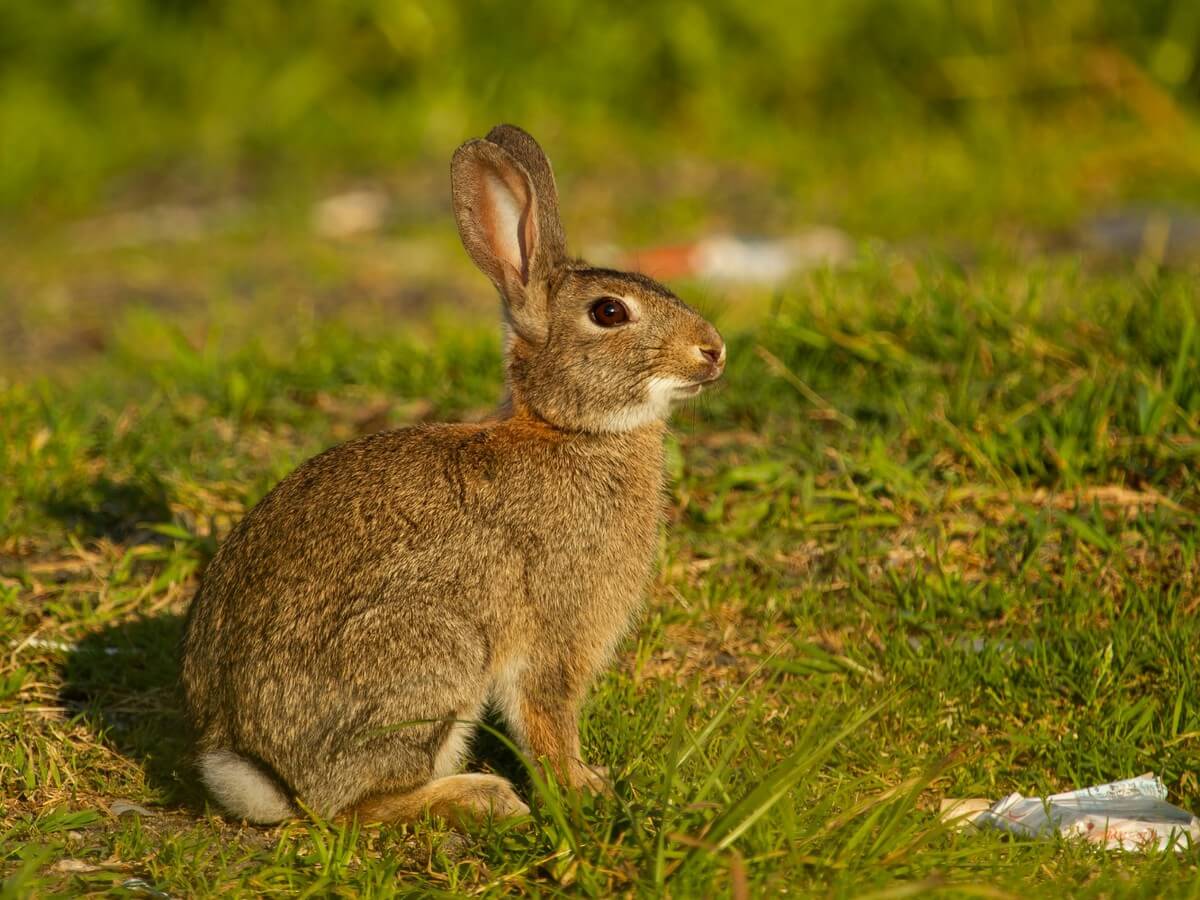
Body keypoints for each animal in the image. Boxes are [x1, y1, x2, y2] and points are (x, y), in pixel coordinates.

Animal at [179, 124, 726, 826]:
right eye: (609, 313)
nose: (713, 350)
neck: (569, 429)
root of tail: (259, 770)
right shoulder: (555, 629)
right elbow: (547, 719)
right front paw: (584, 788)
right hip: (435, 653)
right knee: (353, 807)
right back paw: (483, 796)